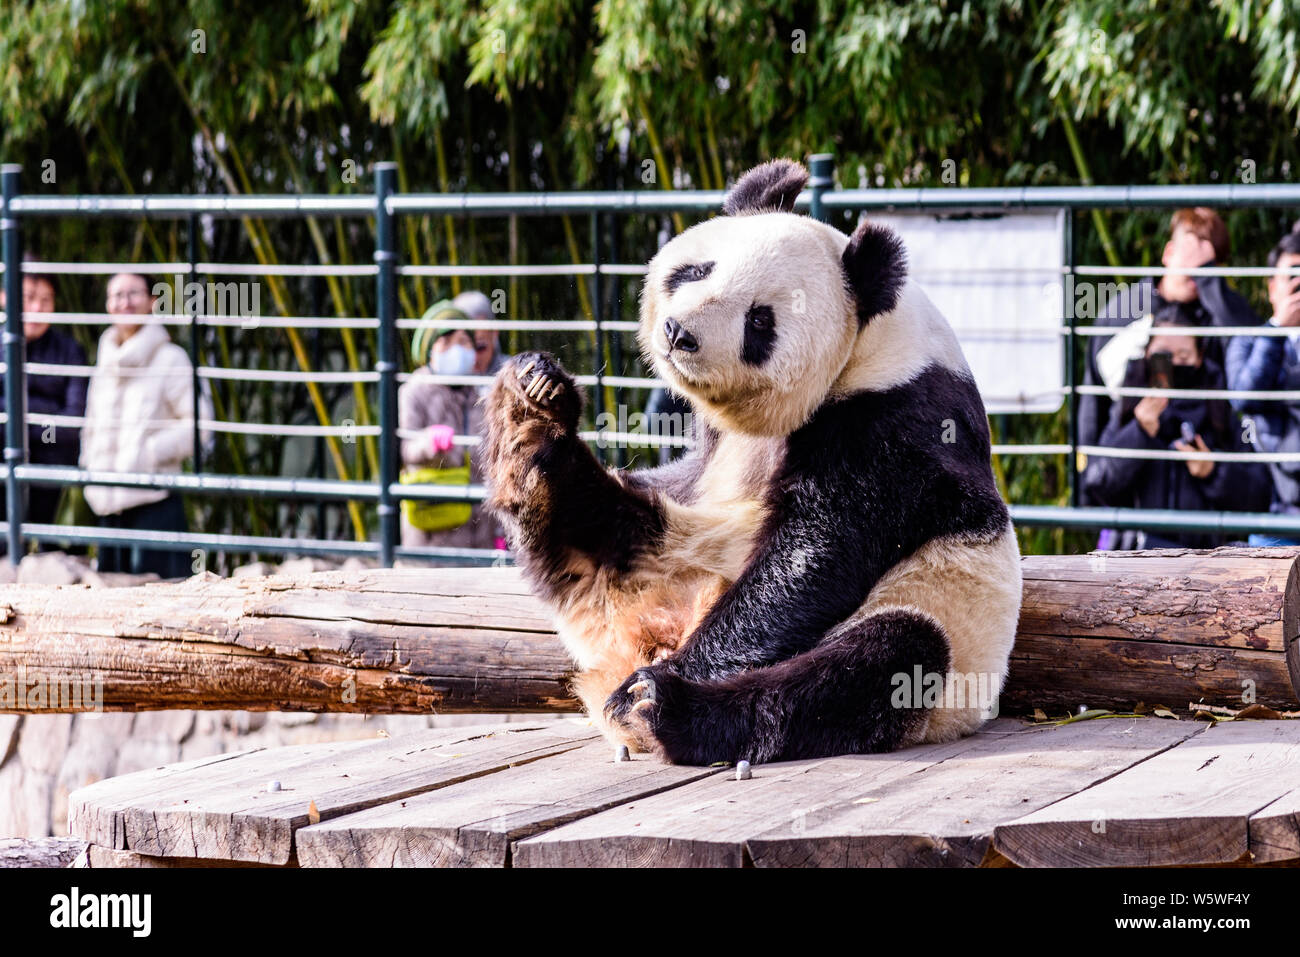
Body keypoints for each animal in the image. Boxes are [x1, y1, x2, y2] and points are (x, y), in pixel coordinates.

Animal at [481, 158, 1022, 765]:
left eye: (759, 321)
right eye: (698, 270)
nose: (679, 333)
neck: (871, 342)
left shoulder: (898, 419)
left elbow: (817, 553)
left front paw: (668, 684)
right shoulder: (713, 458)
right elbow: (682, 478)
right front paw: (536, 386)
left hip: (942, 620)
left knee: (880, 662)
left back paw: (658, 705)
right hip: (670, 551)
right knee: (596, 522)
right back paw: (532, 419)